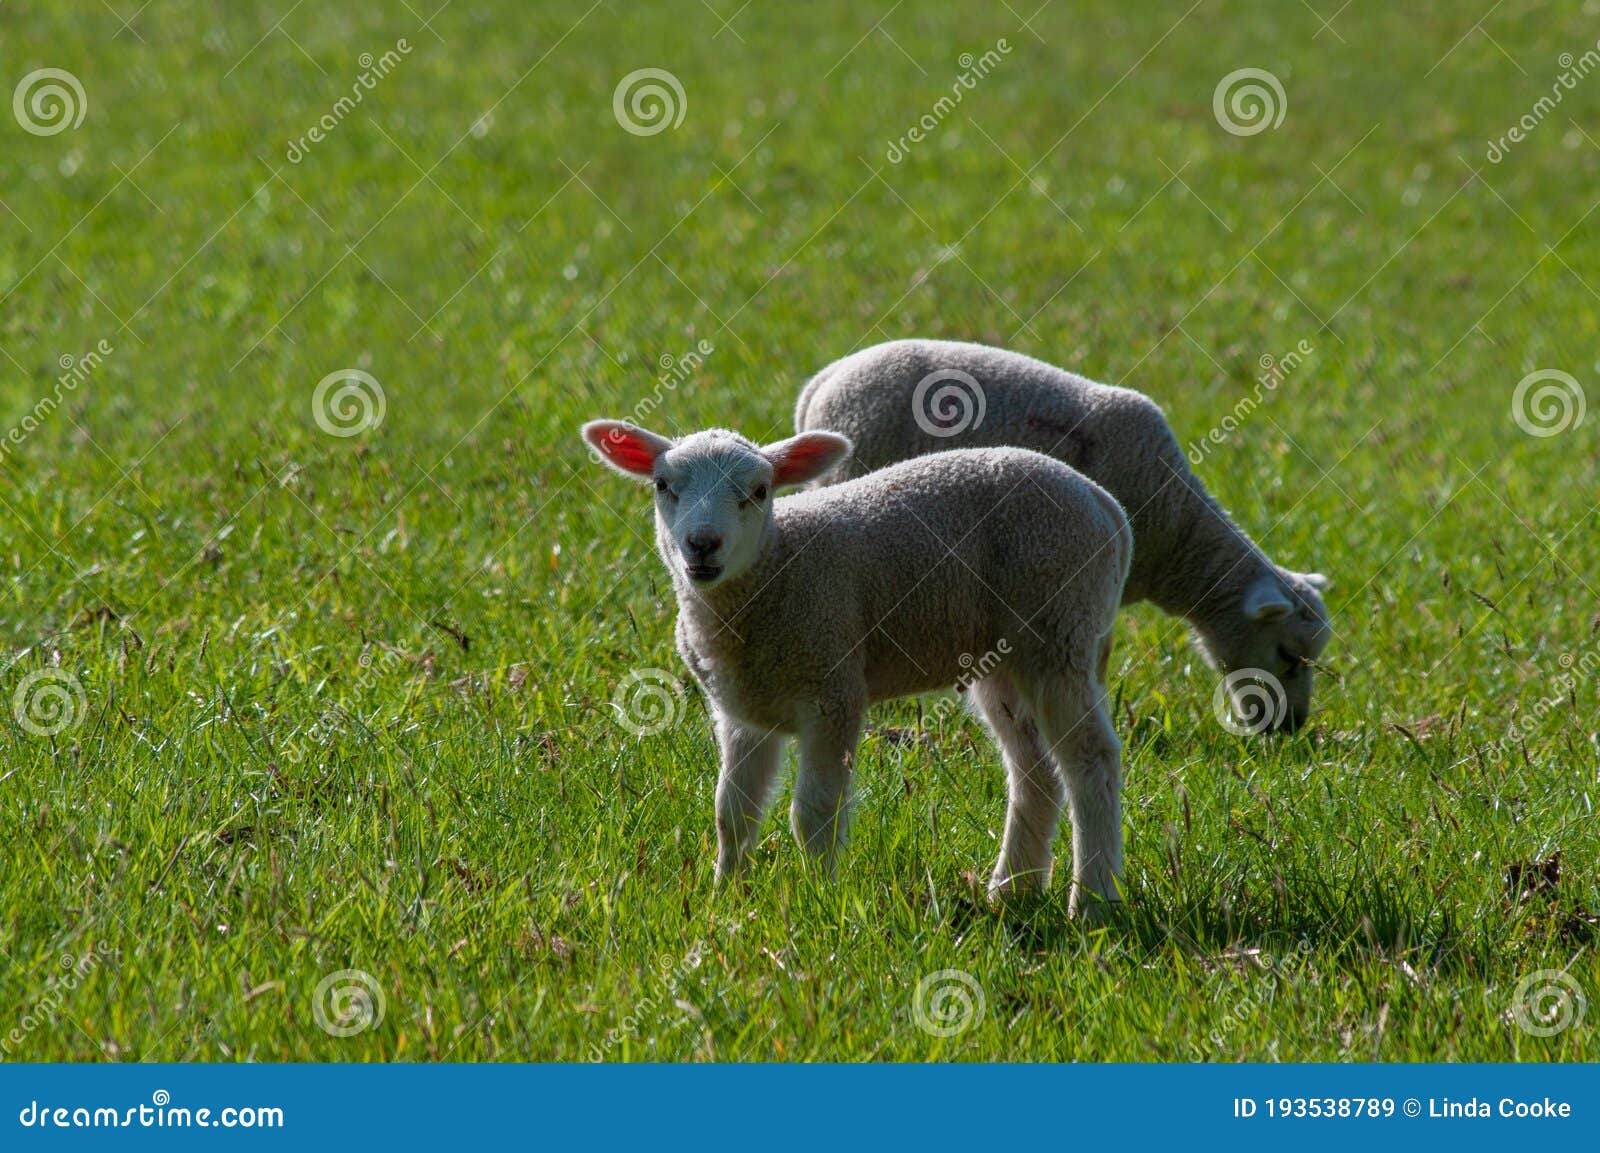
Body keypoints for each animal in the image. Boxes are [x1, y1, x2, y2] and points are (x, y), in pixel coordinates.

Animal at [581, 418, 1133, 916]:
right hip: (1005, 655)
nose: (701, 544)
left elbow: (813, 814)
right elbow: (732, 812)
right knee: (1033, 769)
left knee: (1091, 761)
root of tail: (1105, 505)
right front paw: (725, 898)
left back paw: (1093, 903)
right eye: (662, 485)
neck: (775, 567)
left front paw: (818, 898)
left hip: (1059, 628)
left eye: (759, 491)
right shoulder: (743, 710)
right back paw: (1012, 890)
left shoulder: (833, 689)